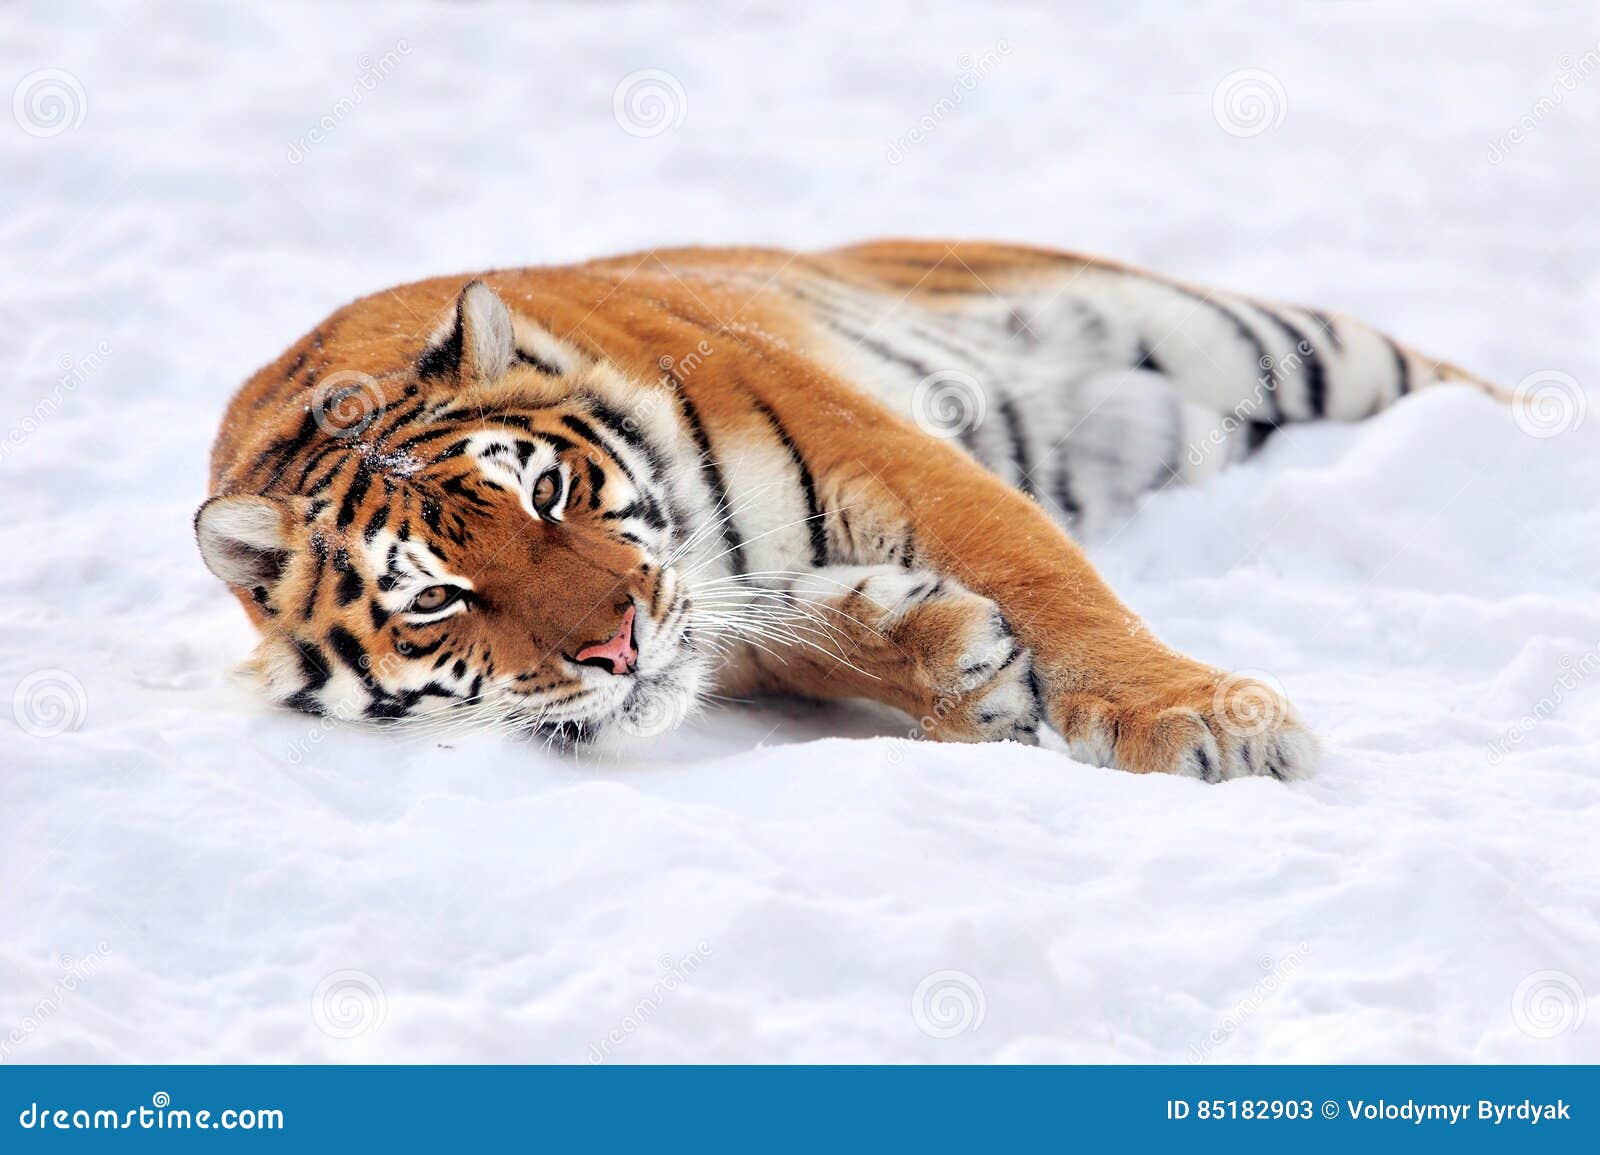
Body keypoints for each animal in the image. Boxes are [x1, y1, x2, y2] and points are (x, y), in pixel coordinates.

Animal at [197, 240, 1505, 781]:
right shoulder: (719, 623)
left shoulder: (883, 452)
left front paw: (1197, 720)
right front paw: (955, 666)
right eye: (436, 600)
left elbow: (1048, 582)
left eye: (548, 493)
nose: (615, 646)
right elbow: (801, 636)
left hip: (1255, 342)